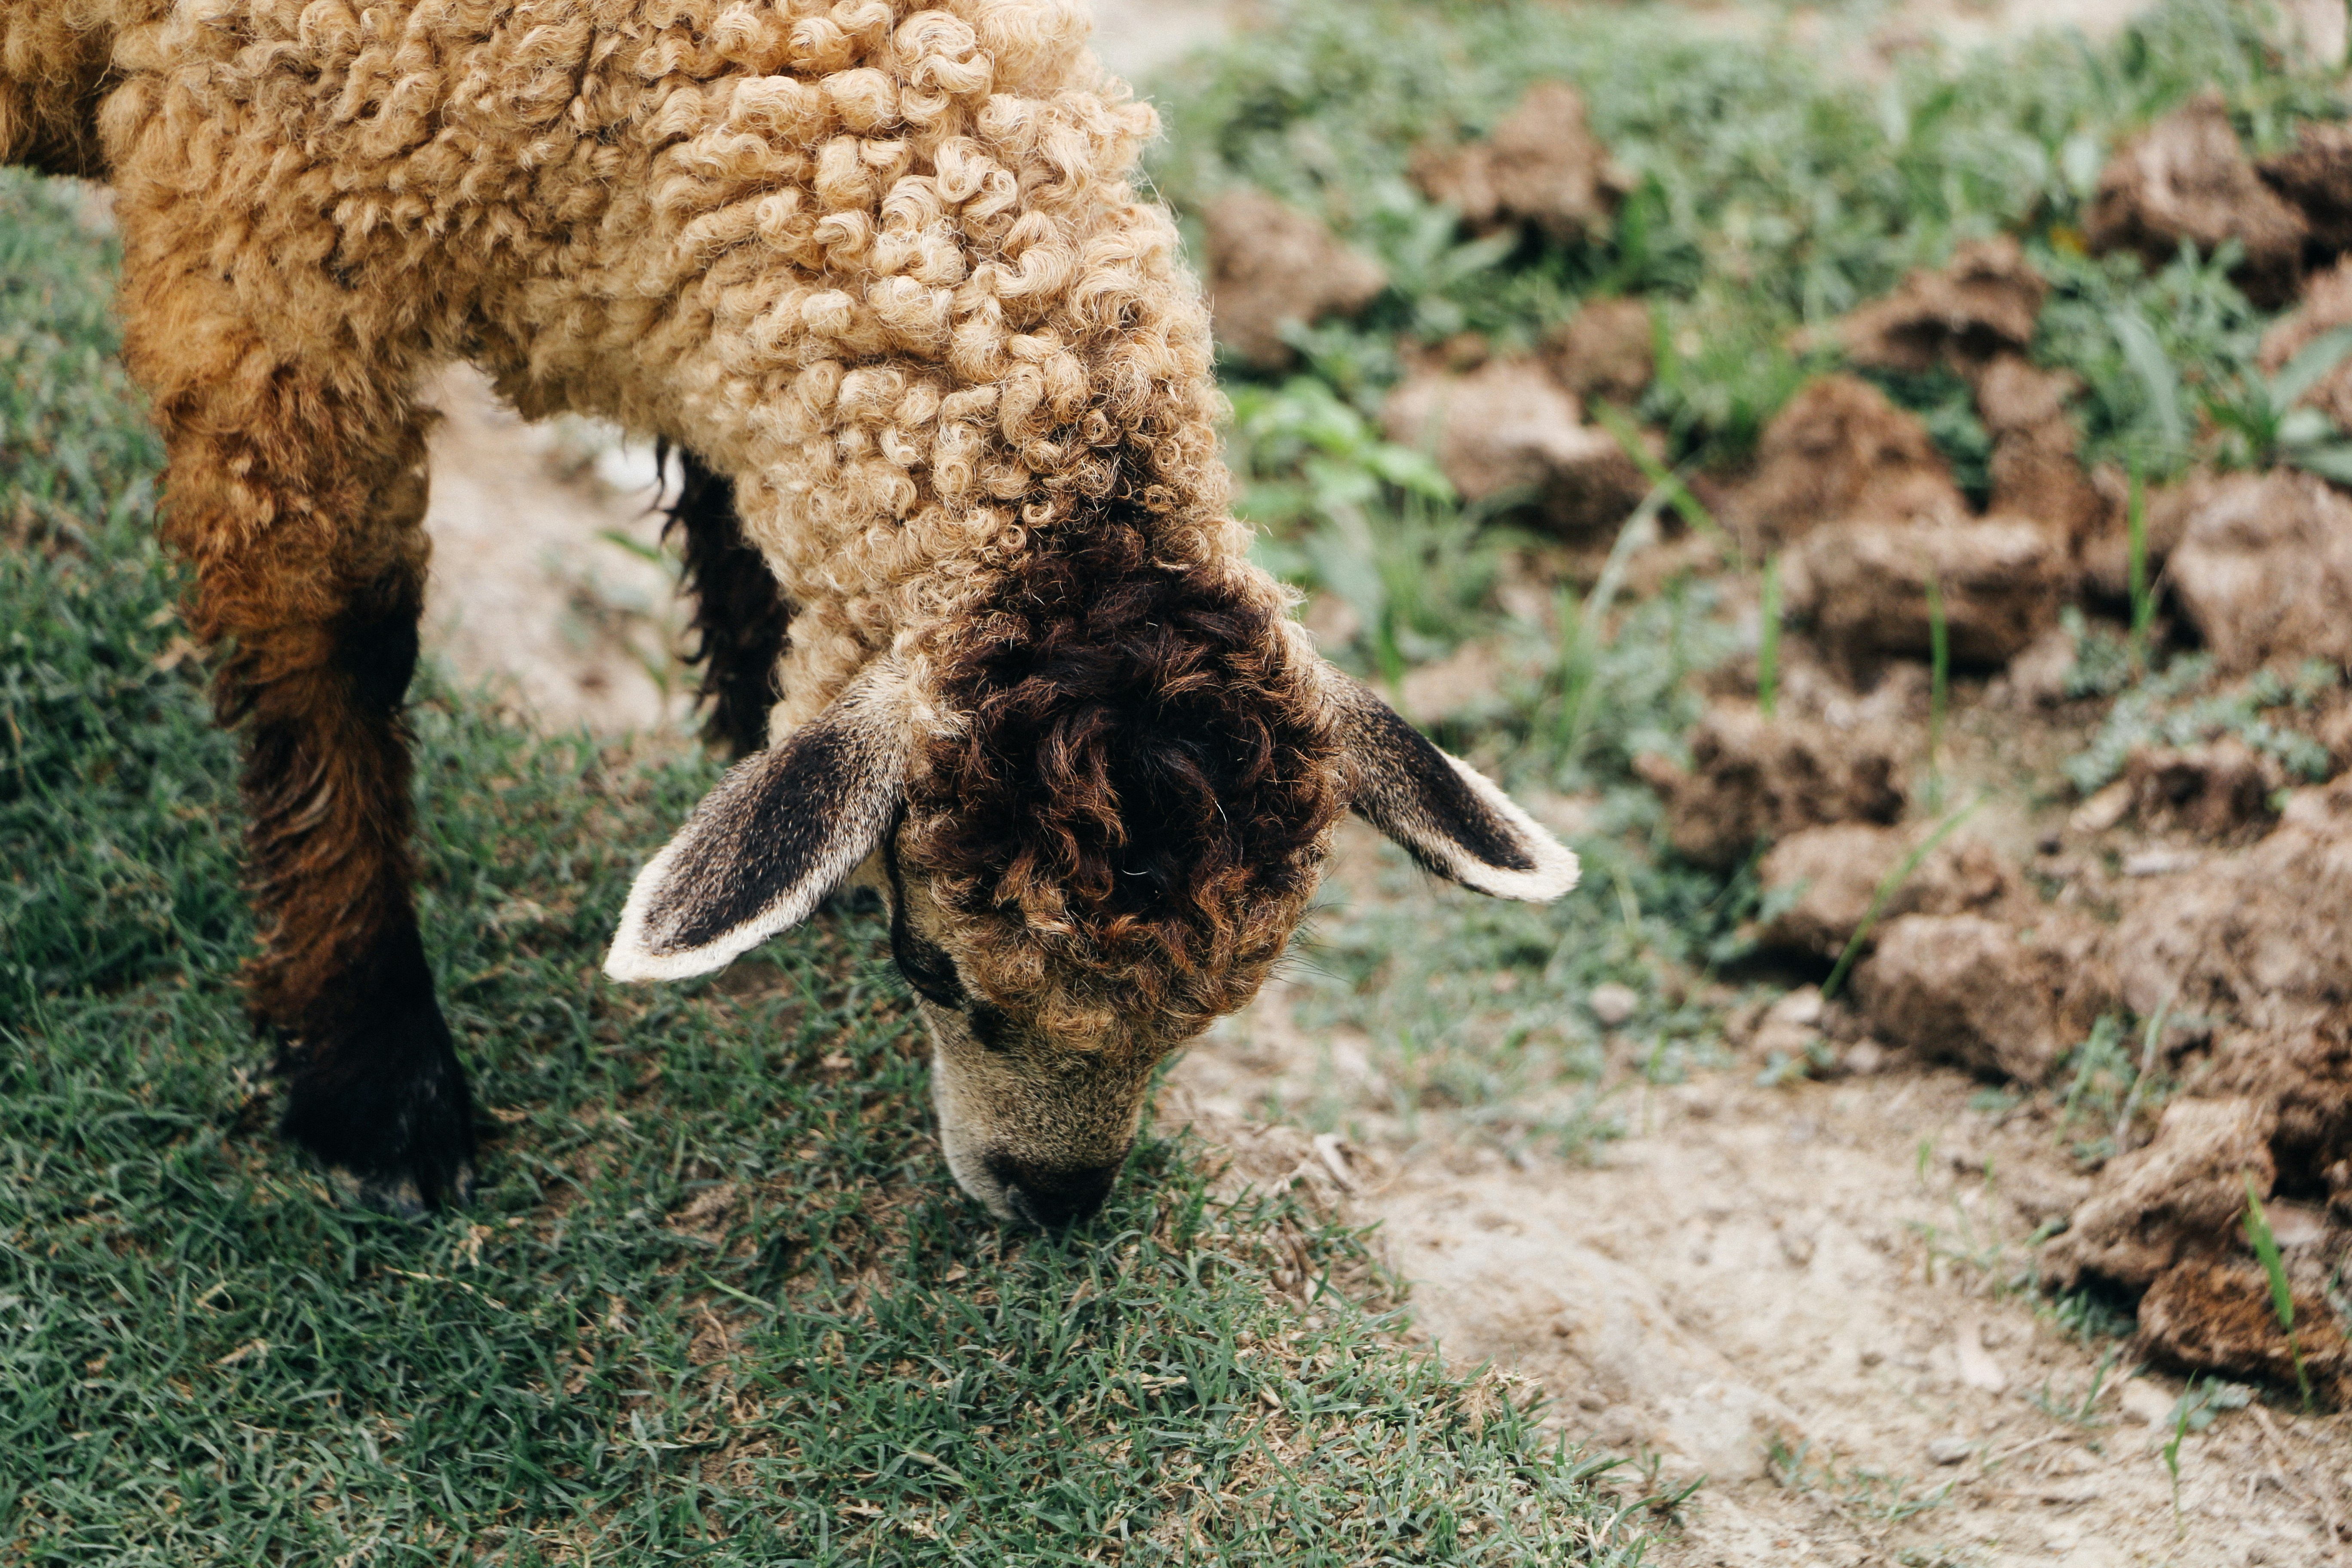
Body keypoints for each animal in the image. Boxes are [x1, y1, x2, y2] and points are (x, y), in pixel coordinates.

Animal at [3, 0, 1578, 1227]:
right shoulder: (265, 252)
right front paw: (377, 1079)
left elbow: (741, 549)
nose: (1052, 1202)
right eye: (929, 966)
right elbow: (339, 644)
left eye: (1216, 1014)